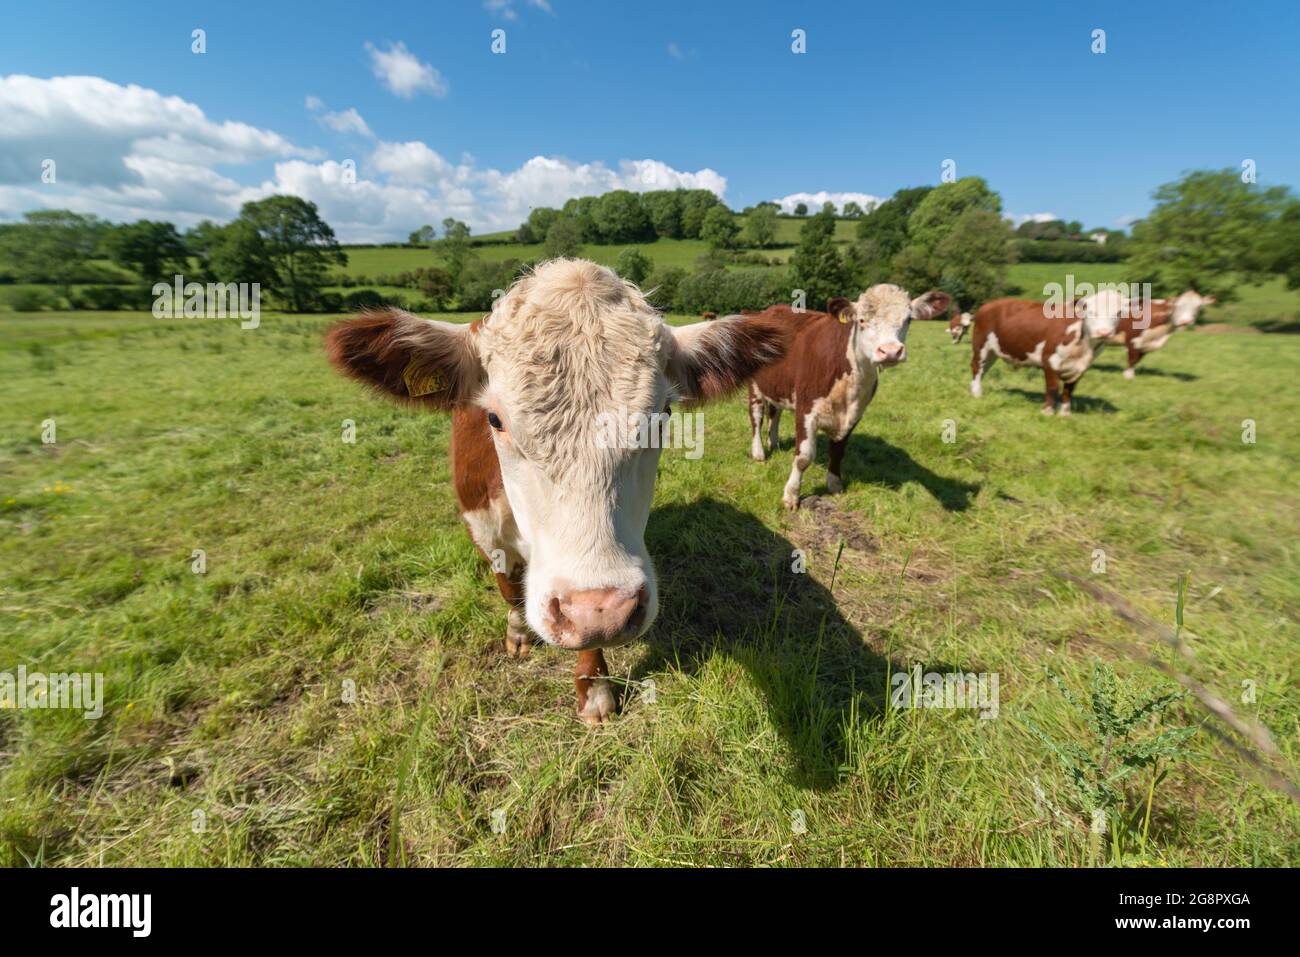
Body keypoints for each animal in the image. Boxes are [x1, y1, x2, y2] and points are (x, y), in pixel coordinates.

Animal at [325, 259, 788, 724]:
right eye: (494, 419)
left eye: (664, 415)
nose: (600, 609)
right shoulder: (483, 527)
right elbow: (508, 586)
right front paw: (517, 633)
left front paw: (595, 687)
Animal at [746, 284, 951, 510]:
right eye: (861, 320)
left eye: (908, 319)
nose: (890, 351)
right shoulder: (805, 409)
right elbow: (803, 457)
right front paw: (791, 495)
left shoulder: (853, 414)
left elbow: (838, 452)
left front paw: (835, 485)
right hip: (754, 385)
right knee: (757, 417)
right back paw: (759, 452)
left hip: (777, 385)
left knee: (775, 412)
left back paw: (773, 442)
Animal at [950, 291, 1127, 415]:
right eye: (1090, 312)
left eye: (1118, 313)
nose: (1104, 332)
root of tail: (987, 305)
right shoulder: (1049, 359)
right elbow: (1053, 387)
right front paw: (1047, 411)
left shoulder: (1080, 367)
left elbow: (1069, 389)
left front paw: (1065, 413)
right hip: (981, 345)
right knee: (976, 367)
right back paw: (977, 393)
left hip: (993, 350)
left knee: (983, 369)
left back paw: (975, 389)